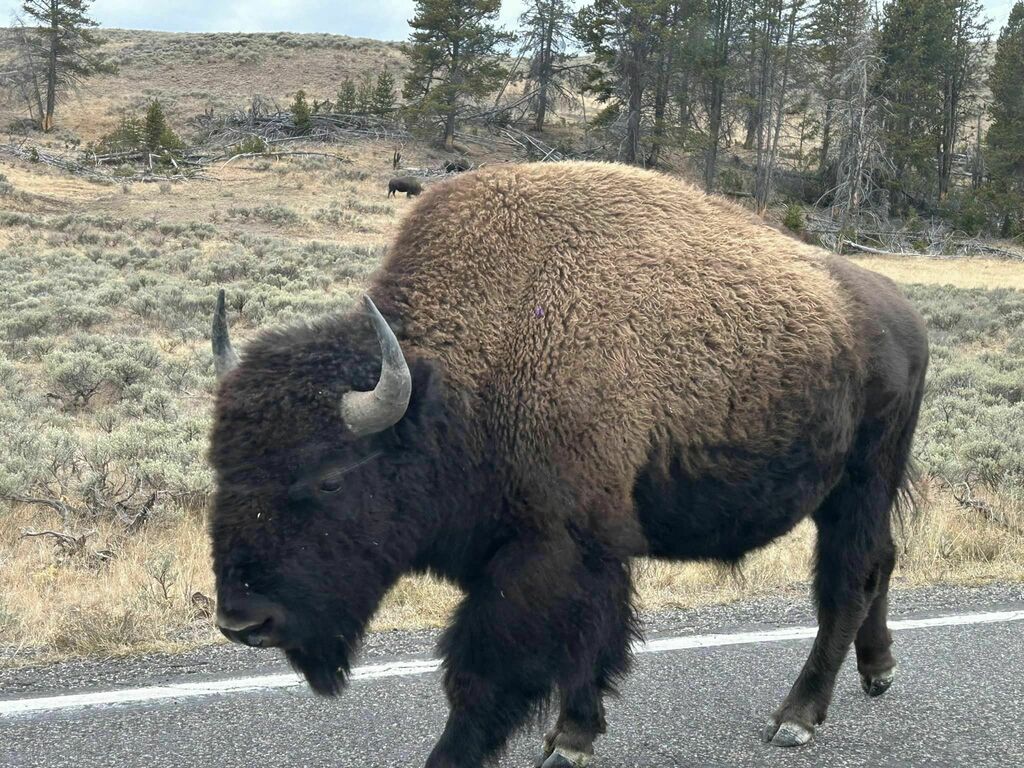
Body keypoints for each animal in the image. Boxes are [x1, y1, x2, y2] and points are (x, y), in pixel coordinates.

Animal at [209, 161, 928, 768]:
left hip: (861, 483)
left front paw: (474, 753)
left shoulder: (545, 554)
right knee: (881, 562)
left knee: (848, 580)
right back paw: (879, 671)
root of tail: (903, 314)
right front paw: (572, 737)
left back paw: (797, 717)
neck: (461, 380)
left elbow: (485, 673)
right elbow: (590, 644)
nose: (243, 622)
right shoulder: (589, 550)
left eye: (329, 477)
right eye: (220, 466)